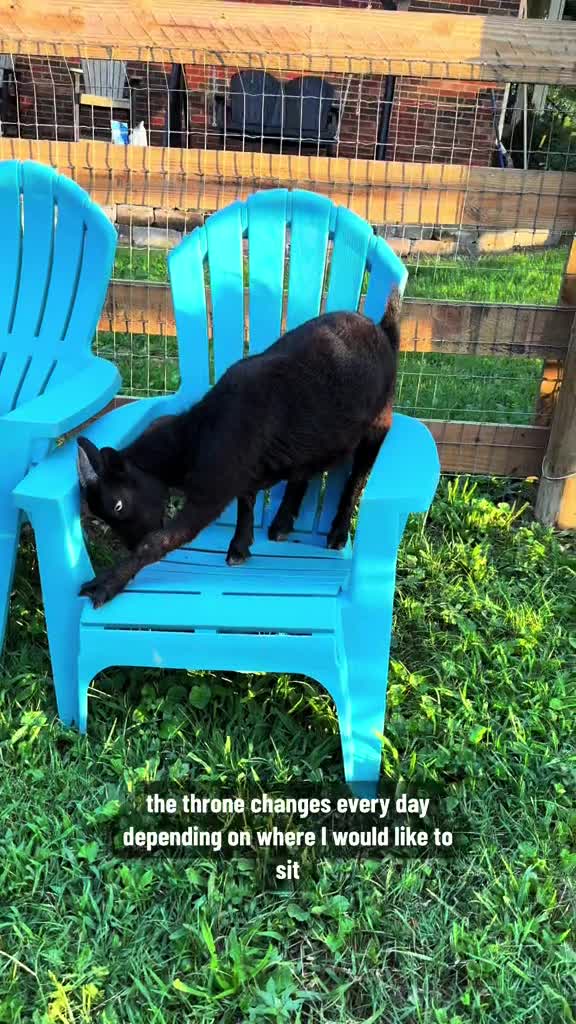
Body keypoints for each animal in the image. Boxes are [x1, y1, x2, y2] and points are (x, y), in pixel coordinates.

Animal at [77, 292, 401, 607]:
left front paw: (104, 585)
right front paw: (239, 547)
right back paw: (282, 524)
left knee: (357, 478)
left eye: (118, 505)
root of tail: (381, 329)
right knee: (304, 471)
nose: (130, 545)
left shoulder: (212, 492)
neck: (195, 435)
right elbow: (246, 502)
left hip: (379, 422)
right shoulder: (244, 469)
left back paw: (337, 532)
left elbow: (159, 541)